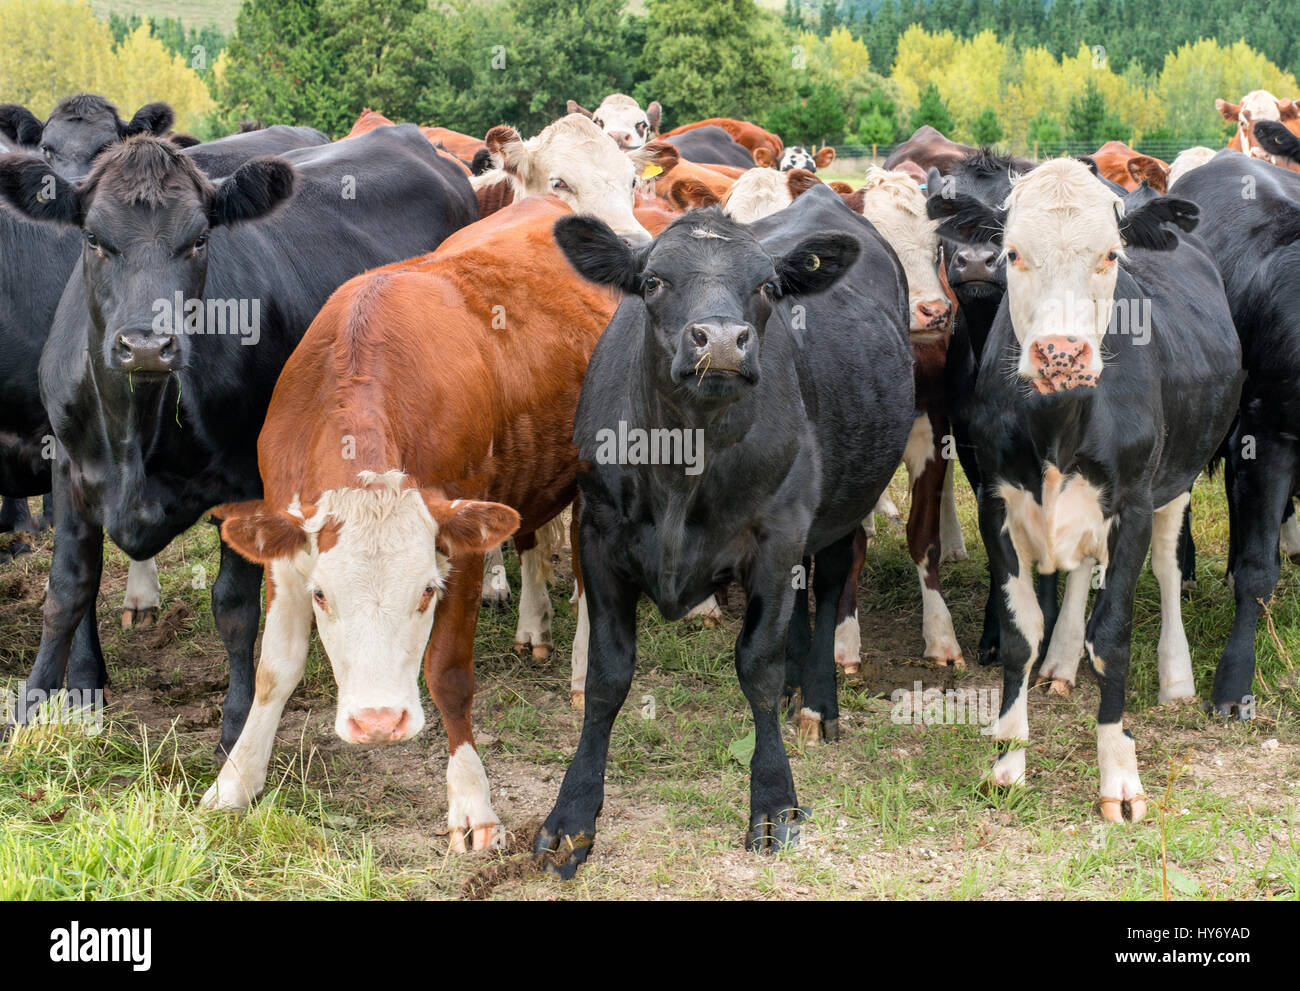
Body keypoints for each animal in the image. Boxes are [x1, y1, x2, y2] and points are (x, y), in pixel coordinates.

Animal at [0, 125, 478, 755]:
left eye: (200, 239)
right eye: (94, 239)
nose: (147, 345)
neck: (136, 433)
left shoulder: (245, 481)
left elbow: (233, 606)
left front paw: (237, 724)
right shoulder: (69, 470)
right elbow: (67, 592)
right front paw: (34, 711)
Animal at [204, 196, 620, 851]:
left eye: (427, 591)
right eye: (322, 596)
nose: (378, 722)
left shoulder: (463, 550)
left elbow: (448, 673)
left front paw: (472, 804)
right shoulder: (288, 554)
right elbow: (275, 670)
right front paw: (235, 782)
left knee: (584, 573)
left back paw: (582, 668)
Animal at [533, 183, 914, 876]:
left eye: (766, 286)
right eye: (653, 281)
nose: (719, 342)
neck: (682, 469)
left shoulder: (776, 539)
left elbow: (755, 665)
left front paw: (775, 802)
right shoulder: (598, 536)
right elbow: (606, 677)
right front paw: (571, 820)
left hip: (845, 503)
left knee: (831, 581)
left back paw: (816, 702)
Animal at [937, 158, 1241, 819]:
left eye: (1109, 255)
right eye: (1012, 253)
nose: (1061, 353)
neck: (1060, 418)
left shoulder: (1132, 504)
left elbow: (1114, 637)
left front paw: (1118, 774)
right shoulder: (997, 502)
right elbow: (1021, 633)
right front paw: (1008, 760)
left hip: (1176, 480)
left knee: (1168, 567)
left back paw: (1176, 675)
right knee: (1078, 572)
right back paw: (1061, 660)